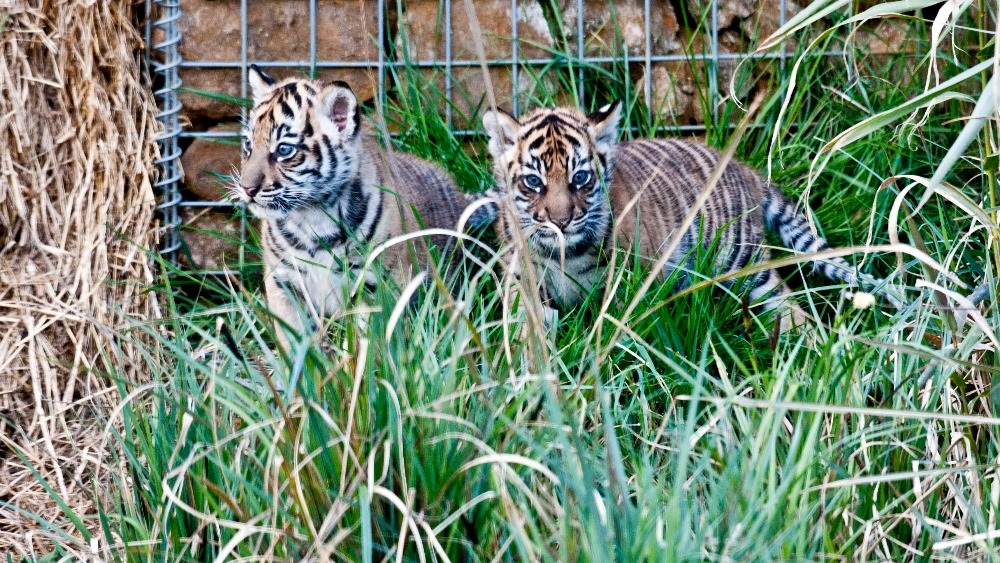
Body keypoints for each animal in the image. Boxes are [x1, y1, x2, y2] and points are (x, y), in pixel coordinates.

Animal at [237, 66, 472, 349]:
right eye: (248, 146)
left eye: (284, 149)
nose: (247, 189)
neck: (312, 216)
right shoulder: (285, 283)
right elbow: (295, 341)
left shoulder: (375, 284)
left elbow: (370, 342)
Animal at [477, 101, 901, 330]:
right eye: (533, 181)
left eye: (580, 177)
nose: (561, 222)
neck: (563, 252)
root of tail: (746, 170)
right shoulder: (523, 281)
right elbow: (525, 330)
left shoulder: (628, 283)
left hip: (739, 259)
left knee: (784, 300)